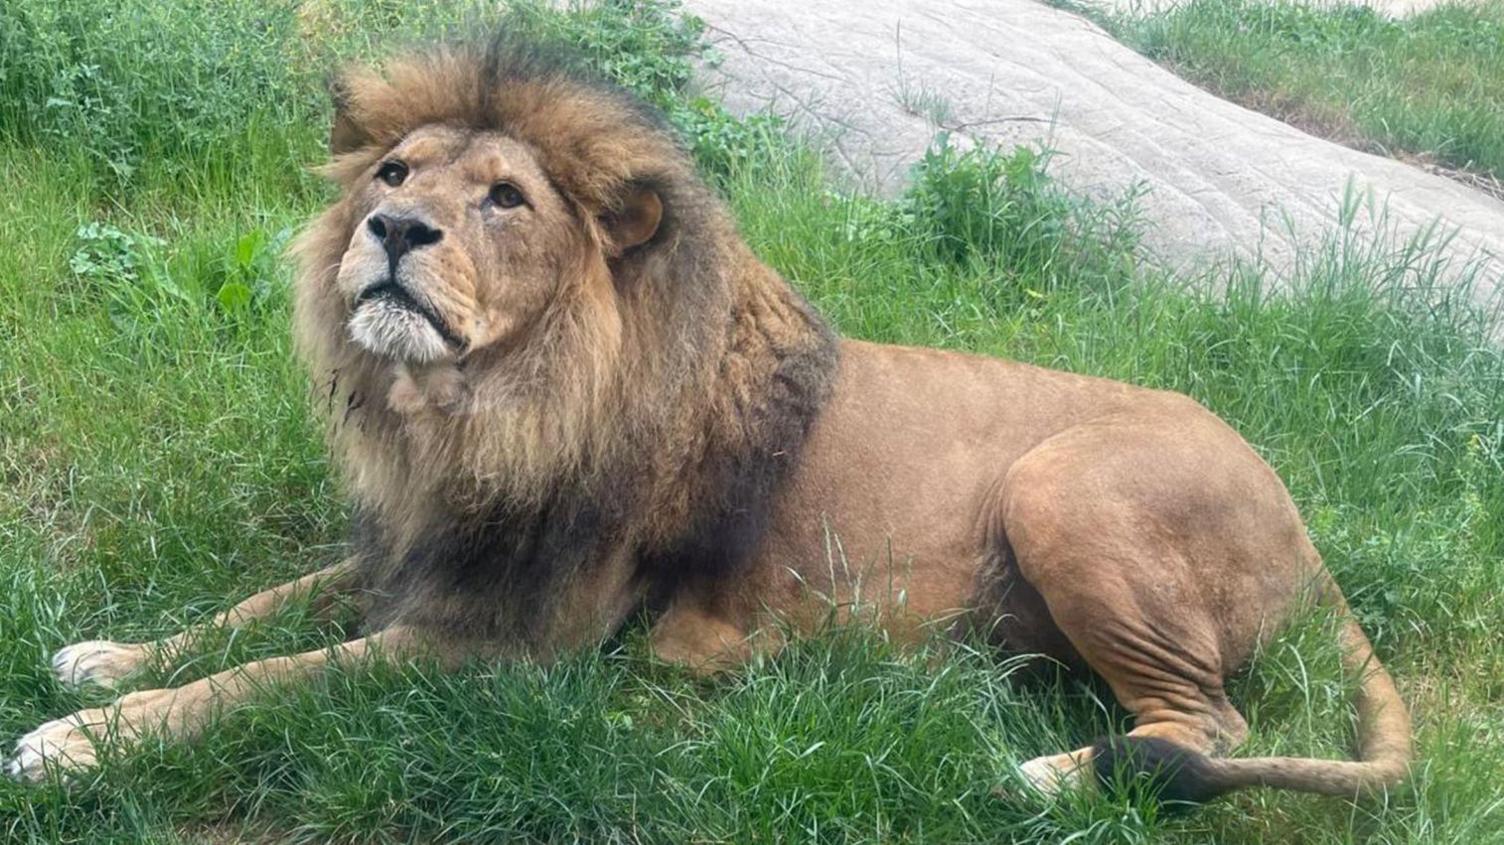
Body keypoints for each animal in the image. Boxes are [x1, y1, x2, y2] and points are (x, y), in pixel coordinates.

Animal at [8, 36, 1411, 805]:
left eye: (505, 197)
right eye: (394, 172)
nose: (392, 229)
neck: (478, 413)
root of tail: (1303, 524)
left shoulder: (513, 643)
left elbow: (276, 676)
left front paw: (80, 741)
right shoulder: (423, 546)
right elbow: (259, 607)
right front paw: (112, 658)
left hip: (1064, 483)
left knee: (1210, 725)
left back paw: (1049, 775)